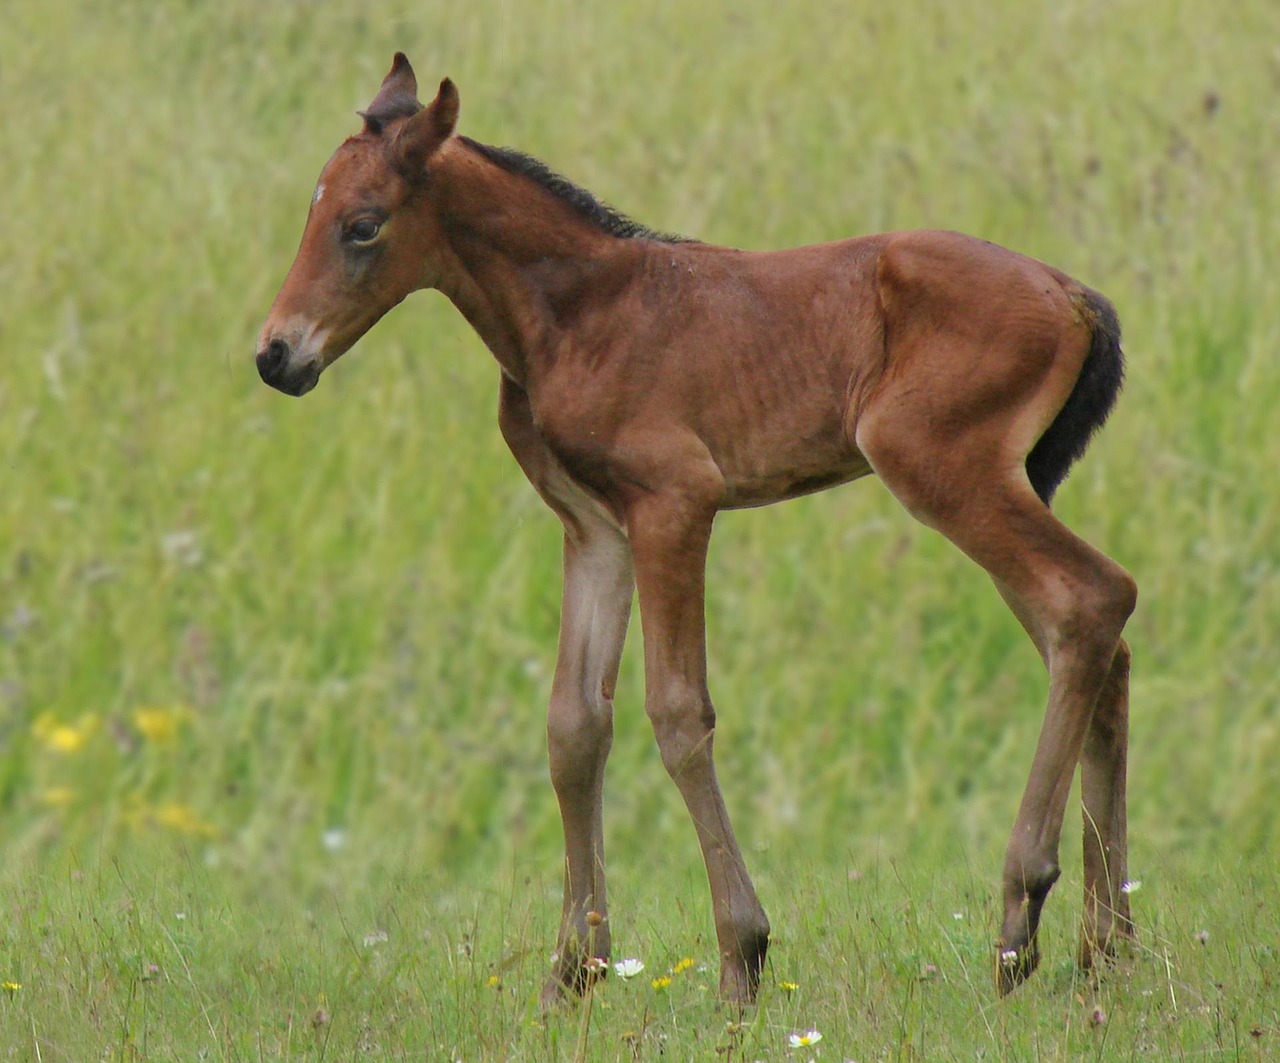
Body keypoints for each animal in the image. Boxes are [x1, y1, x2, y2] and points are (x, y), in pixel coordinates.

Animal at [256, 53, 1136, 1007]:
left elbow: (678, 712)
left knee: (1092, 598)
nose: (276, 355)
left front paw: (741, 957)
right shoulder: (593, 528)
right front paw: (572, 971)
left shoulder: (675, 504)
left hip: (940, 466)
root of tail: (1075, 296)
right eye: (312, 212)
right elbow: (574, 725)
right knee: (1099, 644)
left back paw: (1022, 910)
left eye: (363, 225)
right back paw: (1107, 944)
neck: (576, 312)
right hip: (1015, 479)